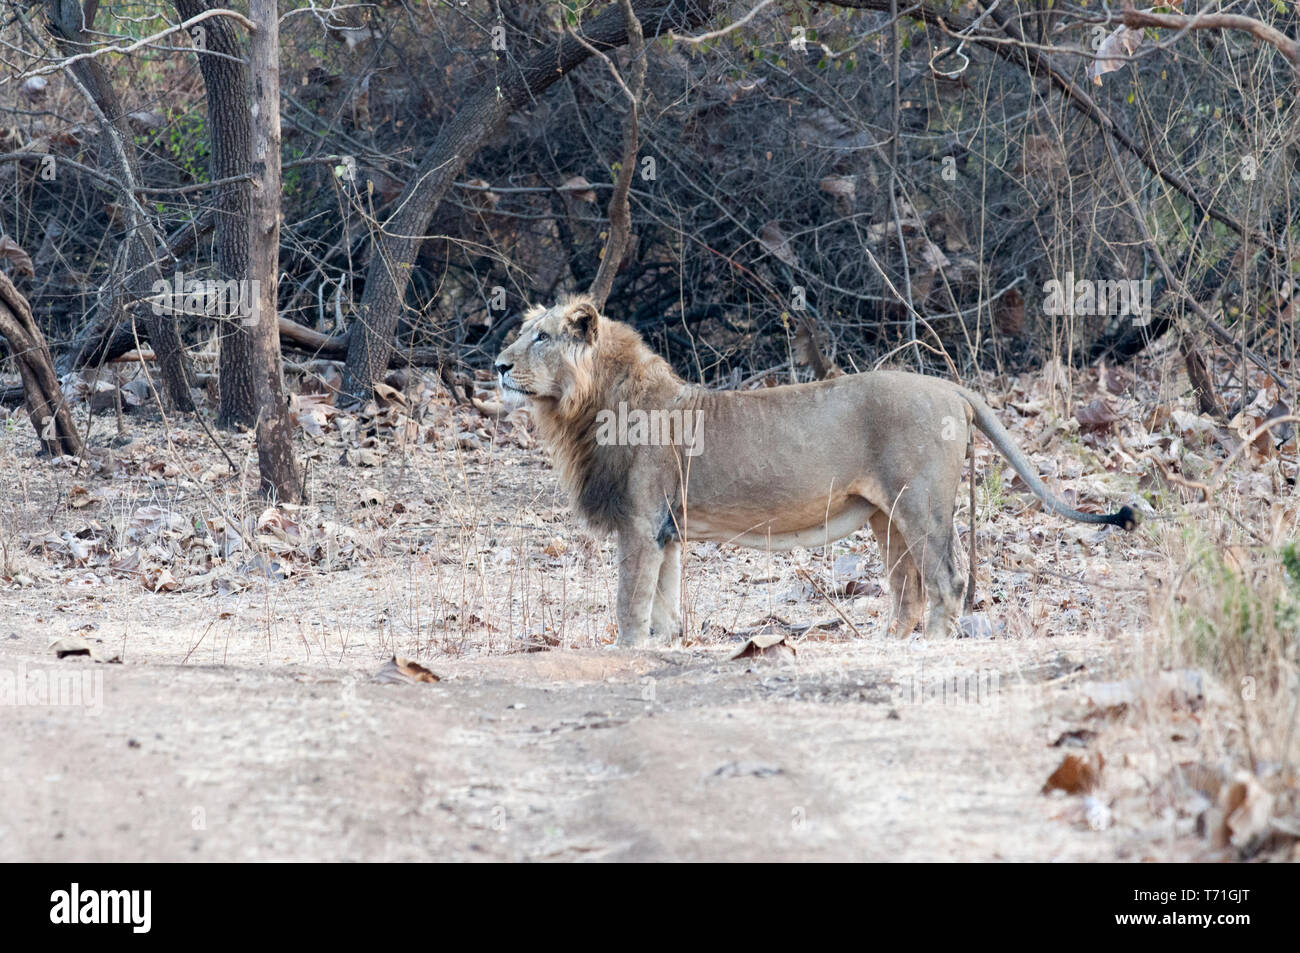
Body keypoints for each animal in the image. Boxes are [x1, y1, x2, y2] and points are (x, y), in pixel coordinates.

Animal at [495, 295, 1137, 646]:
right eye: (520, 334)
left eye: (542, 338)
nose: (497, 365)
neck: (581, 408)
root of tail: (952, 388)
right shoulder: (666, 530)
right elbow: (663, 610)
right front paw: (663, 645)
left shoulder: (639, 524)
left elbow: (629, 605)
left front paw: (626, 653)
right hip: (885, 517)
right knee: (907, 593)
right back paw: (886, 645)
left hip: (921, 505)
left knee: (948, 580)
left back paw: (927, 647)